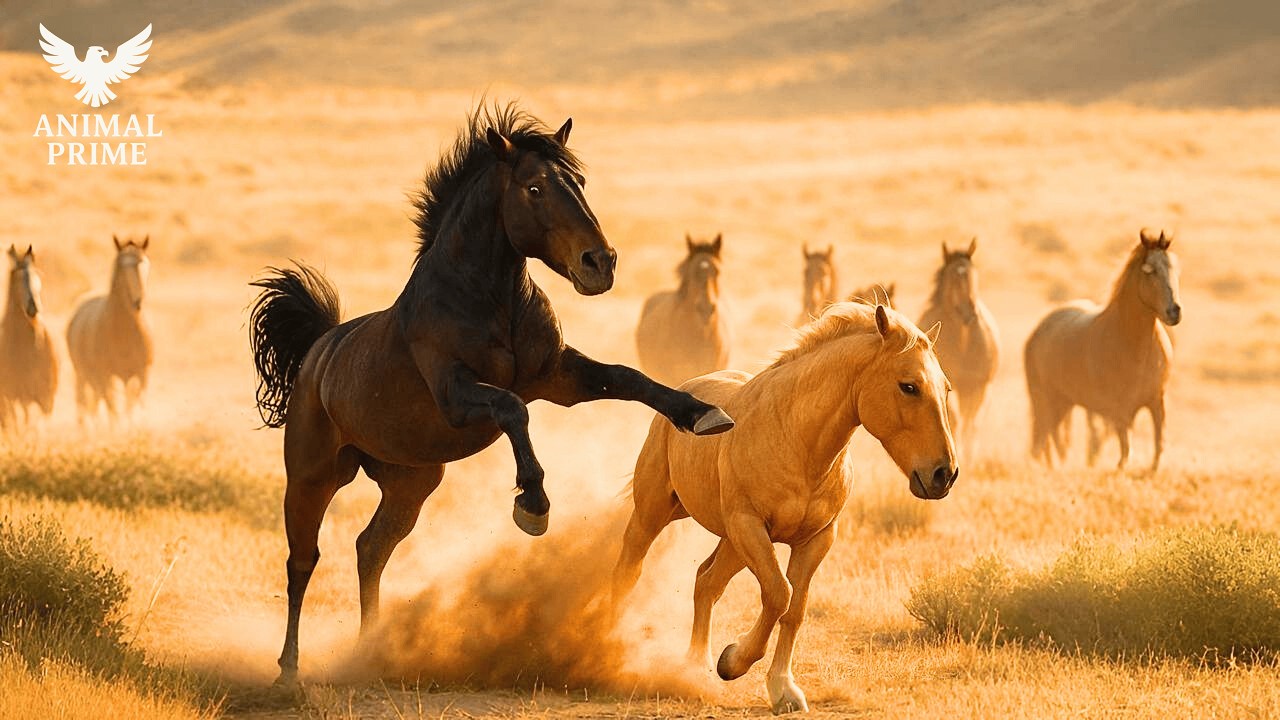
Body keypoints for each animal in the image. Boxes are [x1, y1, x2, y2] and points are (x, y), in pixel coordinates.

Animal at [66, 236, 154, 423]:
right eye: (122, 266)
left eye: (145, 264)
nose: (138, 302)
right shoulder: (105, 376)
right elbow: (113, 410)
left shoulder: (141, 374)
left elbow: (131, 407)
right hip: (83, 375)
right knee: (86, 405)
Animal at [611, 302, 957, 715]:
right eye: (909, 386)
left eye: (946, 388)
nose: (944, 474)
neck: (797, 441)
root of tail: (685, 389)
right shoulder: (750, 526)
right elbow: (779, 593)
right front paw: (733, 662)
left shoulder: (815, 540)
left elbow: (795, 608)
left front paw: (781, 688)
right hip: (656, 515)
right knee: (629, 569)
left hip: (732, 544)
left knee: (706, 582)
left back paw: (695, 667)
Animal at [918, 239, 999, 461]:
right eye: (953, 278)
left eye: (973, 275)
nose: (969, 313)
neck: (963, 343)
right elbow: (954, 422)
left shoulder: (978, 386)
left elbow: (971, 424)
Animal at [1025, 229, 1180, 471]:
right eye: (1150, 271)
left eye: (1174, 269)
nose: (1174, 312)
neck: (1134, 346)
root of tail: (1039, 329)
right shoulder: (1119, 409)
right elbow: (1125, 451)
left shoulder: (1156, 402)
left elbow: (1158, 444)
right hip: (1045, 399)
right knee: (1046, 435)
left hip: (1063, 402)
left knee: (1050, 436)